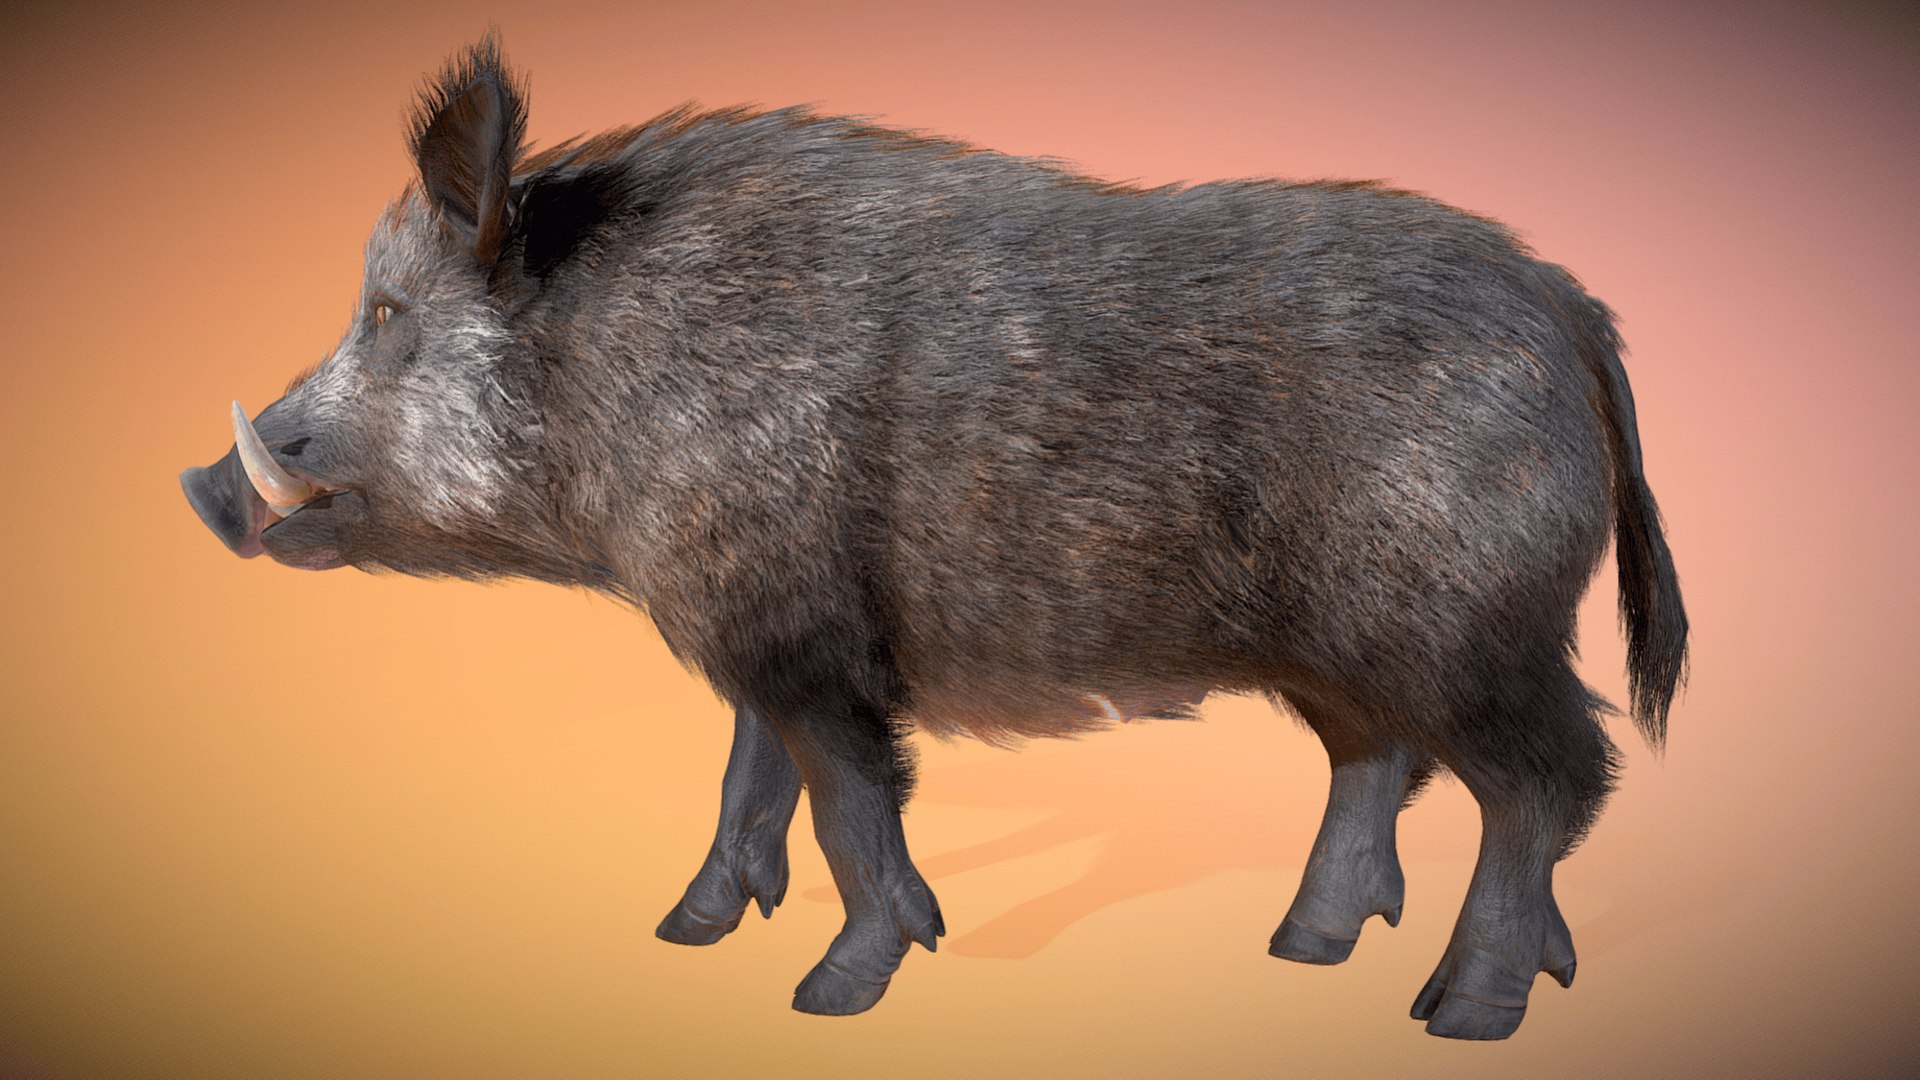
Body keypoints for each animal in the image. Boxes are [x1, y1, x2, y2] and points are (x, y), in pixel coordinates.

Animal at [180, 36, 1687, 1039]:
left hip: (1471, 620)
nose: (204, 488)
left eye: (386, 317)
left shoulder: (800, 631)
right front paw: (687, 929)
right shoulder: (752, 625)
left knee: (1557, 775)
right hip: (1352, 647)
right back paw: (1305, 952)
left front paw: (828, 997)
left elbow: (849, 801)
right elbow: (748, 779)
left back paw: (1463, 1011)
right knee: (1384, 766)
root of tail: (1577, 315)